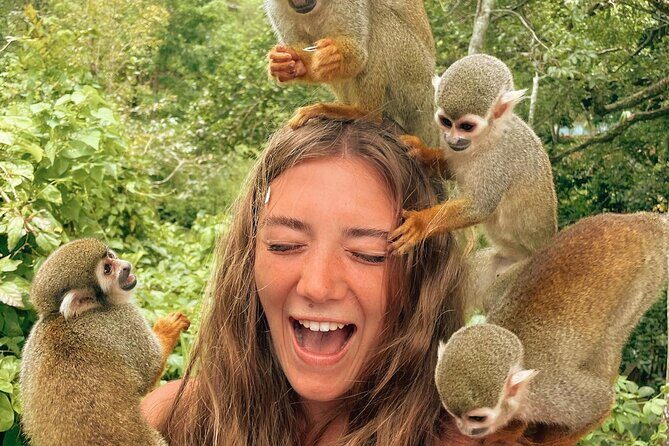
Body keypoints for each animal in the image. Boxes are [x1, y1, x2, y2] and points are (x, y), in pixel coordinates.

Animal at [20, 238, 191, 446]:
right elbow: (151, 370)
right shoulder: (123, 318)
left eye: (110, 255)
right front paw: (168, 328)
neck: (61, 317)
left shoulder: (32, 343)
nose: (125, 266)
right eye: (107, 270)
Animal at [264, 0, 440, 146]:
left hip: (416, 79)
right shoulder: (274, 8)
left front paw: (335, 56)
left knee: (379, 19)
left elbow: (358, 56)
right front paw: (291, 64)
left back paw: (362, 112)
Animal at [390, 54, 558, 300]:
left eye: (466, 126)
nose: (452, 139)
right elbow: (450, 168)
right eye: (446, 122)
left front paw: (421, 224)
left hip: (527, 271)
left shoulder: (499, 159)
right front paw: (422, 152)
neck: (488, 136)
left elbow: (480, 207)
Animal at [434, 212, 669, 443]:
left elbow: (600, 402)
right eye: (453, 413)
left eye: (477, 418)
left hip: (645, 279)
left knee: (611, 337)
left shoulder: (550, 395)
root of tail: (645, 224)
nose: (464, 429)